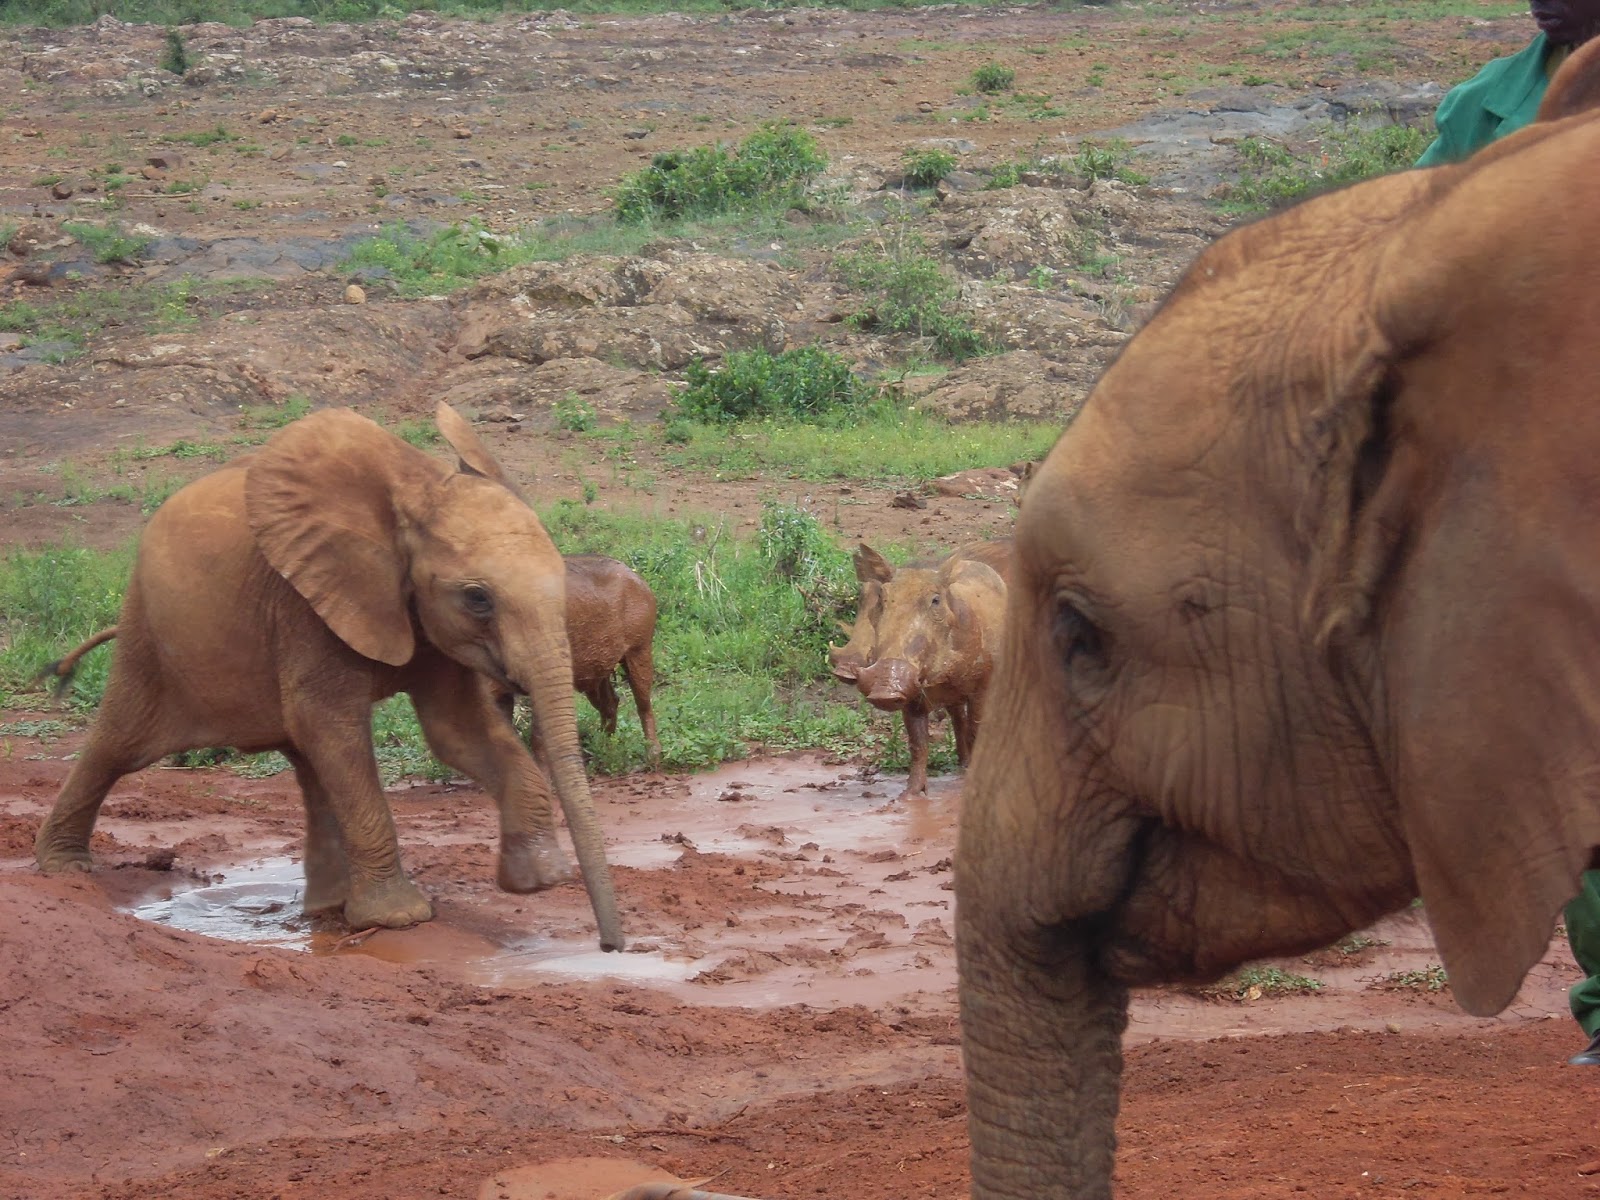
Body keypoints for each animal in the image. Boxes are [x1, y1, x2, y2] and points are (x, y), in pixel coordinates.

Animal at [34, 401, 624, 950]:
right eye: (478, 599)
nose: (610, 945)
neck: (417, 485)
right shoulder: (306, 598)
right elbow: (335, 724)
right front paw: (400, 919)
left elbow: (455, 731)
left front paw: (538, 879)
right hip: (148, 628)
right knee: (120, 743)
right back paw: (63, 871)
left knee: (307, 761)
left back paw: (326, 907)